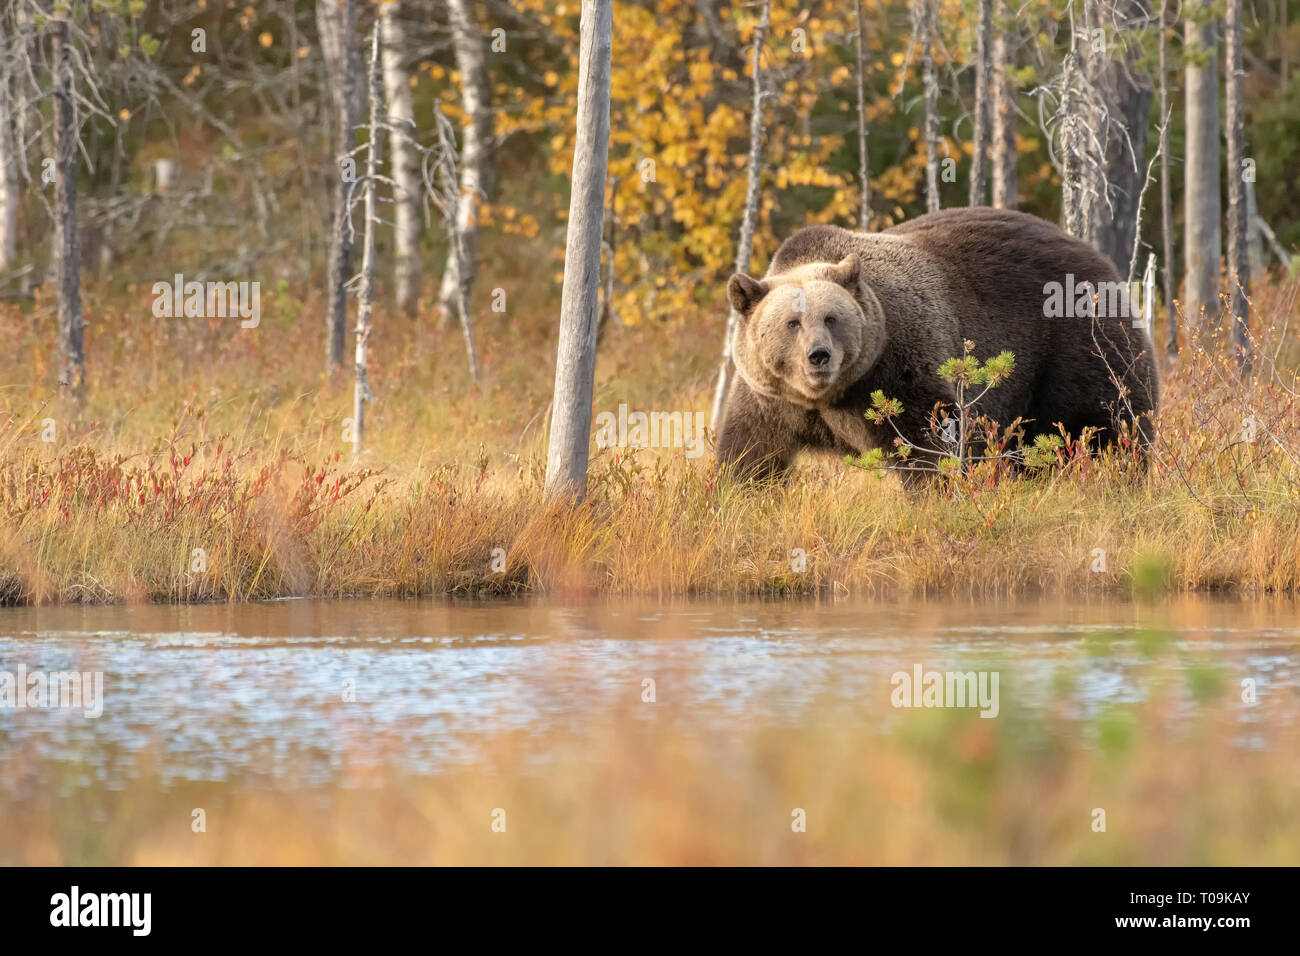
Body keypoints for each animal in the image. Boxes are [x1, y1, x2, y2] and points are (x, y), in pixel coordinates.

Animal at [716, 206, 1160, 481]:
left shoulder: (897, 369)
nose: (818, 356)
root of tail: (1100, 258)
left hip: (1075, 348)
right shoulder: (771, 398)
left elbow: (931, 441)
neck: (829, 397)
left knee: (1108, 424)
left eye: (831, 318)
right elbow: (748, 452)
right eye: (792, 322)